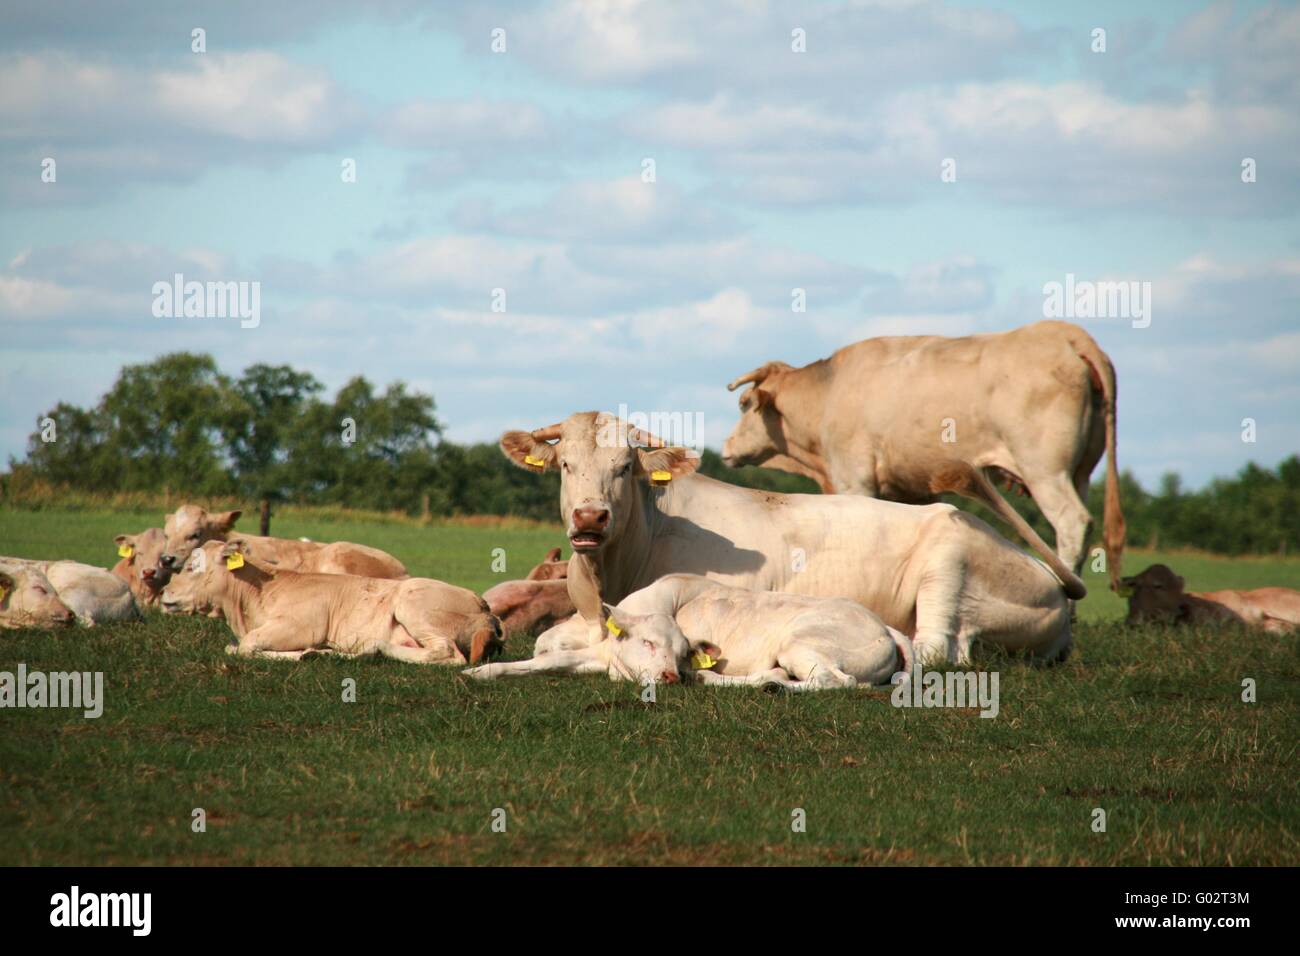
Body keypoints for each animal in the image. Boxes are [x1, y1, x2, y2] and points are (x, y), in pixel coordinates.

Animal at [160, 540, 503, 664]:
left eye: (191, 566)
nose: (164, 594)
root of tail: (483, 606)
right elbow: (234, 647)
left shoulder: (302, 626)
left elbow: (247, 646)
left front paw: (301, 655)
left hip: (412, 605)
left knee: (447, 654)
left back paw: (372, 647)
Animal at [467, 574, 914, 691]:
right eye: (647, 643)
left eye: (682, 652)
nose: (671, 676)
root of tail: (885, 627)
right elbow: (544, 662)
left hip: (801, 644)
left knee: (837, 681)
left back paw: (777, 685)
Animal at [499, 411, 1078, 666]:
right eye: (566, 464)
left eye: (624, 467)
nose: (590, 518)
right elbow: (550, 639)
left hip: (949, 554)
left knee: (935, 647)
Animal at [719, 320, 1125, 590]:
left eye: (743, 405)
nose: (725, 448)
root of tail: (1065, 333)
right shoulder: (907, 490)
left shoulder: (855, 478)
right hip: (1080, 473)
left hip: (1046, 471)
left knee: (1072, 523)